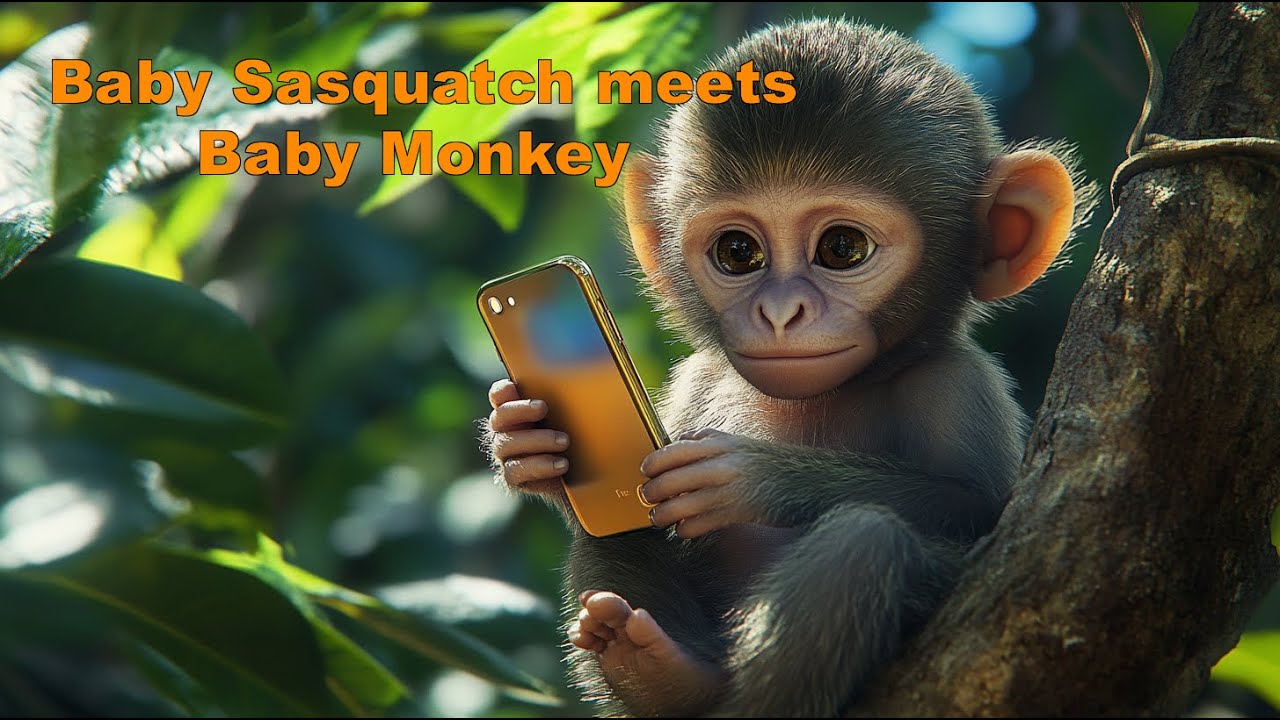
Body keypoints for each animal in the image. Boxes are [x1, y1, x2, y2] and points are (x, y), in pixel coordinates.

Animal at [482, 19, 1094, 717]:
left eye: (843, 247)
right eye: (737, 252)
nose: (779, 313)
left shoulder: (958, 382)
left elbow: (979, 506)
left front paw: (753, 477)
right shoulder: (697, 376)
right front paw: (525, 443)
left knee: (862, 547)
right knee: (611, 536)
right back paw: (658, 671)